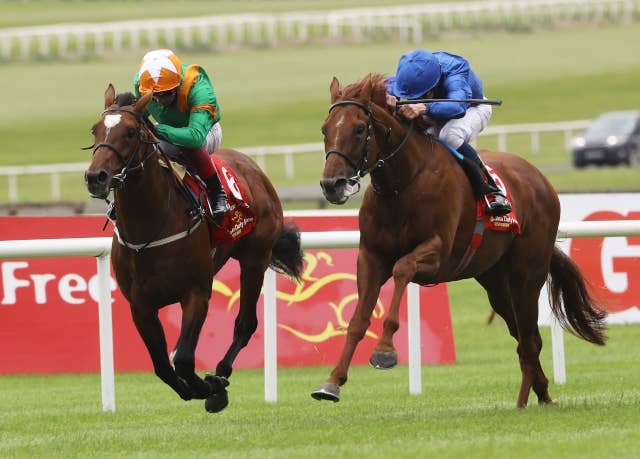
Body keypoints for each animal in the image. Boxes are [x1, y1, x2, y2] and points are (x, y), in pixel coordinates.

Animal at [84, 84, 303, 413]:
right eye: (95, 129)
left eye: (131, 132)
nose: (95, 177)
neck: (150, 228)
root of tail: (252, 167)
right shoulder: (140, 306)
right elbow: (164, 364)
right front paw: (191, 388)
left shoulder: (197, 292)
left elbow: (185, 359)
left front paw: (211, 388)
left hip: (255, 258)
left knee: (245, 324)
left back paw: (221, 373)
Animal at [311, 74, 607, 408]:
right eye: (325, 129)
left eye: (360, 129)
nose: (332, 185)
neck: (402, 186)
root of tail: (540, 179)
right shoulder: (371, 257)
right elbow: (358, 319)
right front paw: (332, 382)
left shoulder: (438, 254)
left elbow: (402, 268)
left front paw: (385, 350)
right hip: (495, 281)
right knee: (525, 337)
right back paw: (539, 395)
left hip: (527, 274)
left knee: (530, 338)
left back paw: (526, 402)